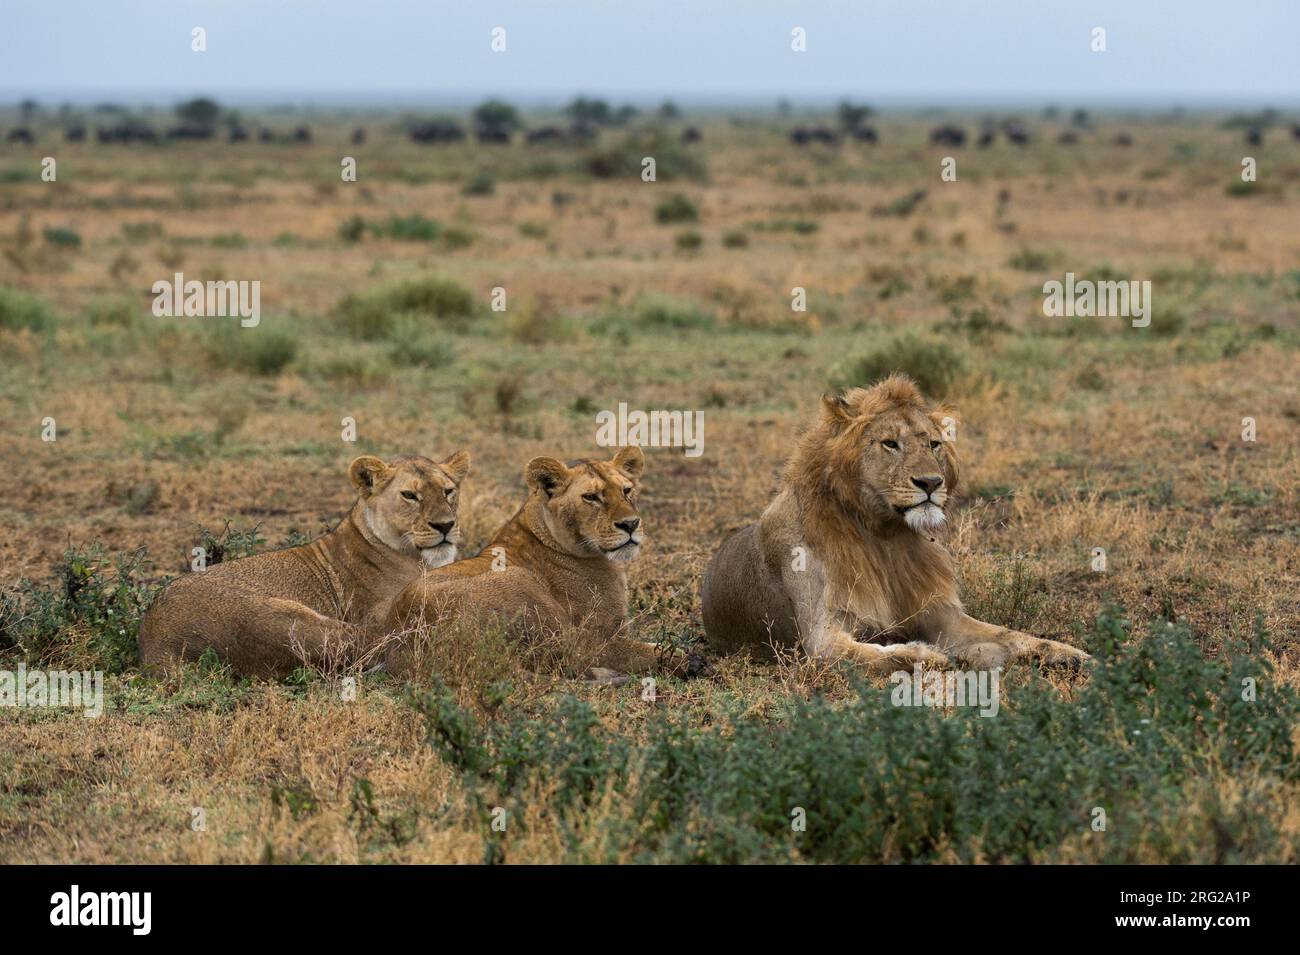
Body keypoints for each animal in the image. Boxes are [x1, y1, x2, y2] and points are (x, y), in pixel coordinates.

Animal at [138, 451, 470, 678]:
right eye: (410, 495)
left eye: (448, 491)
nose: (445, 525)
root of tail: (157, 642)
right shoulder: (376, 615)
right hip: (292, 620)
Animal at [382, 447, 668, 678]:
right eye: (591, 497)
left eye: (627, 490)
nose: (631, 524)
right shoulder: (600, 640)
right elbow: (656, 652)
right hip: (523, 582)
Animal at [701, 375, 1090, 673]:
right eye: (890, 444)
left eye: (934, 444)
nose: (931, 482)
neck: (884, 535)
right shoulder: (821, 640)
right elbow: (883, 656)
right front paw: (932, 655)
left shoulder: (940, 616)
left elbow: (1009, 633)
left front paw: (1070, 654)